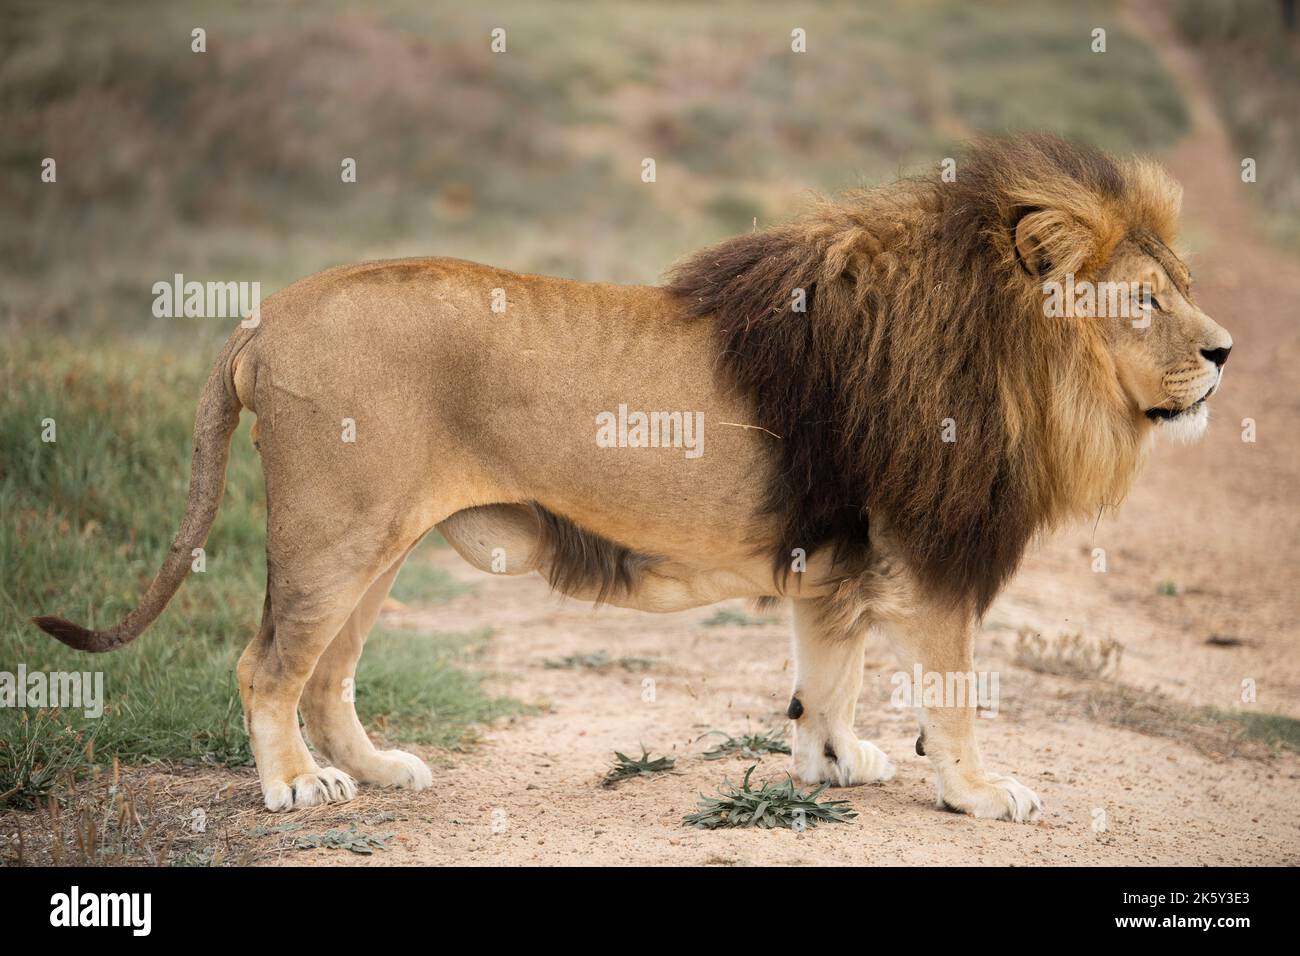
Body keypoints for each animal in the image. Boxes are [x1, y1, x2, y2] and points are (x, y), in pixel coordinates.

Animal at [34, 134, 1232, 821]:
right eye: (1144, 302)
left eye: (1184, 284)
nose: (1225, 352)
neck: (1013, 357)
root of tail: (264, 310)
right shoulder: (934, 558)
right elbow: (956, 696)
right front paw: (981, 792)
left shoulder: (837, 553)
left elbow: (829, 670)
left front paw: (836, 761)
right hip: (336, 532)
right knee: (267, 666)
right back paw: (291, 788)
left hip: (377, 545)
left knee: (326, 678)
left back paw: (374, 773)